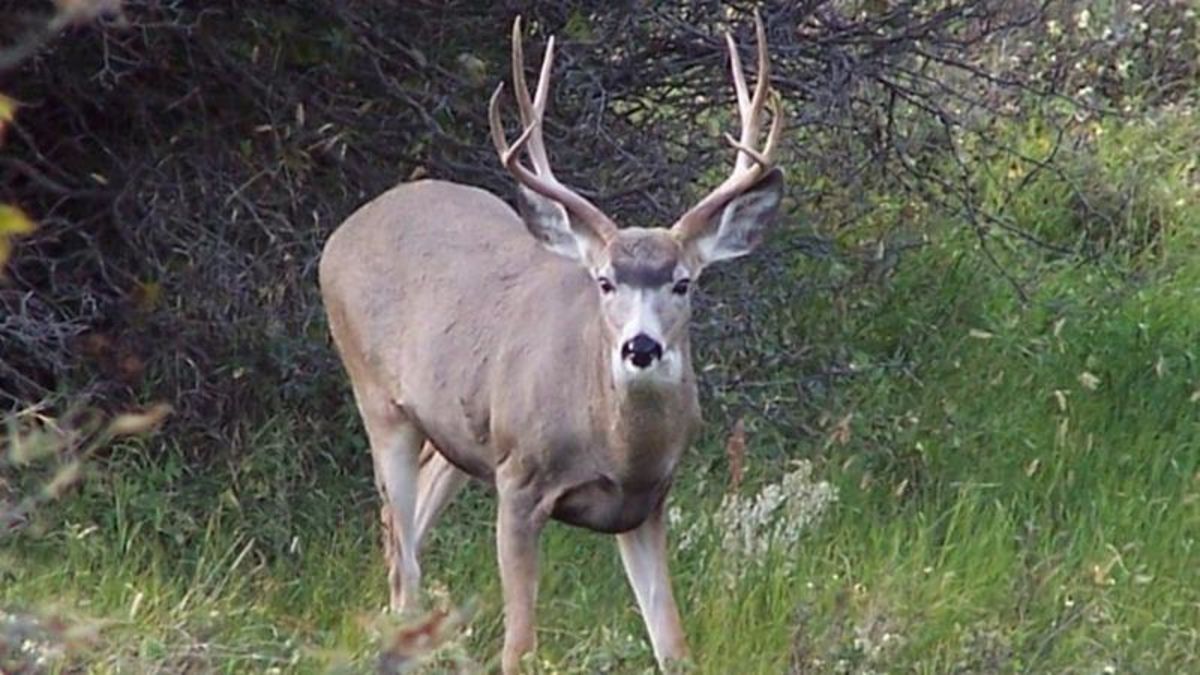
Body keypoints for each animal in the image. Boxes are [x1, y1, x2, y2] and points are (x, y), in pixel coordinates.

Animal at [318, 12, 783, 673]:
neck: (615, 446)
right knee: (399, 545)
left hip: (461, 428)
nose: (641, 348)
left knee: (412, 527)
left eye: (683, 282)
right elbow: (520, 646)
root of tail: (343, 232)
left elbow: (673, 644)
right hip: (377, 397)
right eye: (605, 281)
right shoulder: (519, 481)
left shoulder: (648, 502)